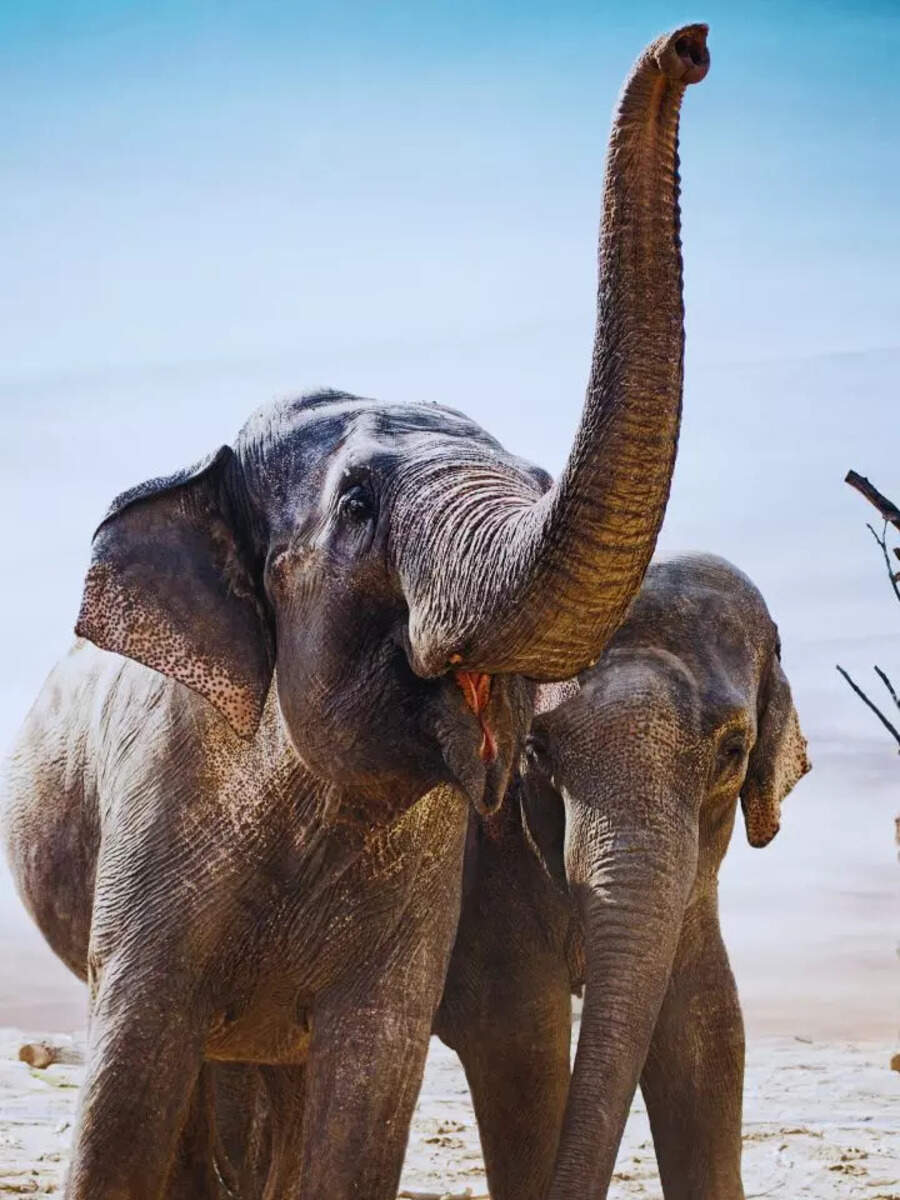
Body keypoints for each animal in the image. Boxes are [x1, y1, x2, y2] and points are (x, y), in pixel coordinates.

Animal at [1, 24, 710, 1200]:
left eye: (532, 475)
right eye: (358, 506)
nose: (689, 46)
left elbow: (368, 1094)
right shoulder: (149, 822)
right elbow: (131, 1081)